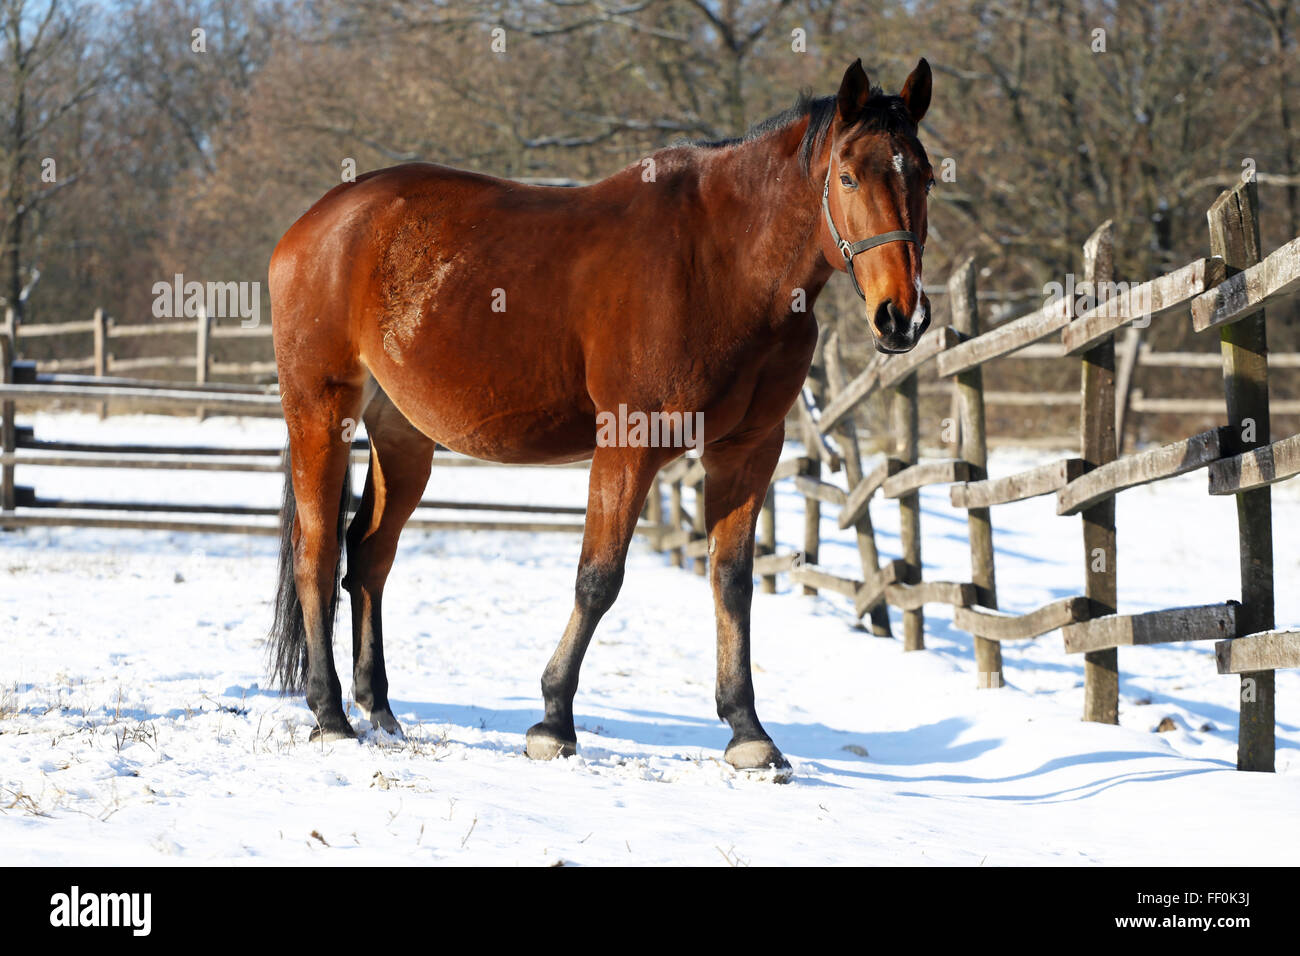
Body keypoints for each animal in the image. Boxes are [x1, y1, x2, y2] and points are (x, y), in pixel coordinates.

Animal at [266, 57, 935, 776]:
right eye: (847, 176)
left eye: (924, 175)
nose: (901, 316)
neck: (719, 262)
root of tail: (315, 223)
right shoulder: (629, 445)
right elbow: (598, 580)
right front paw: (554, 720)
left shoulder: (748, 451)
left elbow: (732, 583)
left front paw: (747, 730)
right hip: (321, 413)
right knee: (316, 552)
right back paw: (331, 715)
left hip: (403, 438)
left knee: (368, 556)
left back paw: (381, 711)